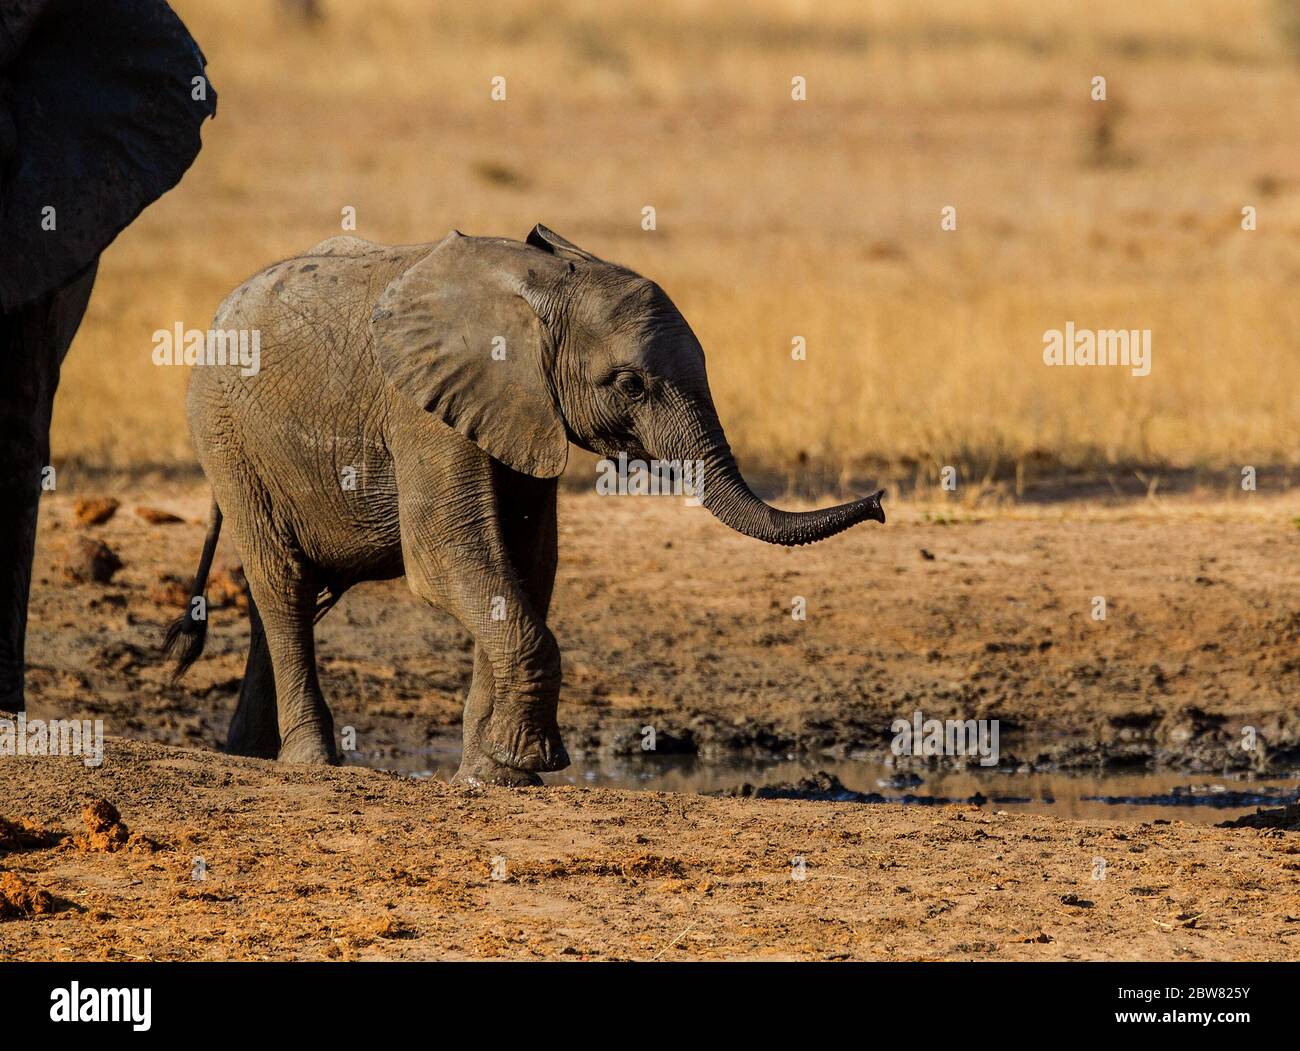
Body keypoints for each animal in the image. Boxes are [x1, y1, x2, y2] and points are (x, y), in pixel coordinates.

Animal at [166, 225, 885, 784]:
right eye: (630, 384)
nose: (880, 504)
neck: (542, 286)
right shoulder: (423, 409)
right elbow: (450, 561)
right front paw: (523, 762)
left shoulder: (522, 409)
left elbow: (524, 570)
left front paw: (493, 771)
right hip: (223, 432)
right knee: (283, 584)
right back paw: (311, 765)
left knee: (275, 596)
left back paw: (250, 754)